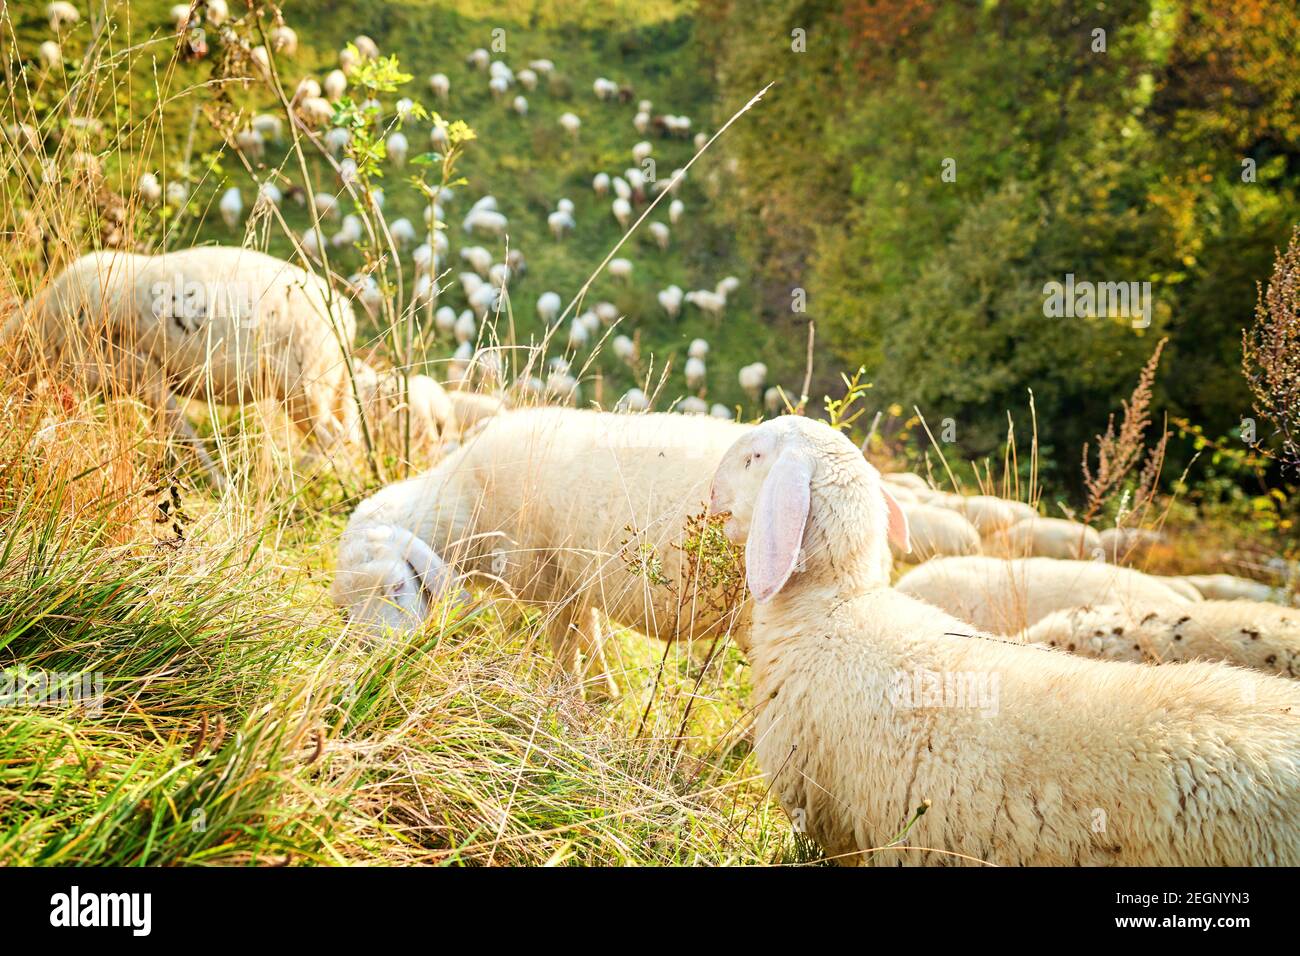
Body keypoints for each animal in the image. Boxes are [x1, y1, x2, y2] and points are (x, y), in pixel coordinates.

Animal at [6, 247, 361, 481]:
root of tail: (345, 313)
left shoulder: (144, 373)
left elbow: (182, 434)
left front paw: (215, 482)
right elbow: (169, 433)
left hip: (302, 384)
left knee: (334, 439)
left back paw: (299, 483)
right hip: (326, 384)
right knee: (347, 436)